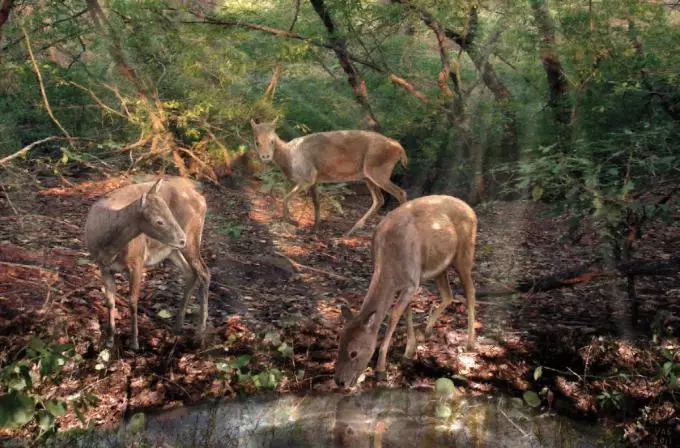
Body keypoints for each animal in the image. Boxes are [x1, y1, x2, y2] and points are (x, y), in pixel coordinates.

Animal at [86, 178, 211, 350]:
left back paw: (200, 334)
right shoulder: (103, 267)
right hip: (172, 249)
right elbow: (110, 301)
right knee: (190, 273)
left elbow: (132, 301)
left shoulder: (137, 261)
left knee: (204, 273)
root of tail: (202, 199)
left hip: (192, 236)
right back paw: (178, 326)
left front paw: (134, 342)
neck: (109, 248)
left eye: (169, 212)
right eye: (158, 221)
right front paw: (109, 340)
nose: (182, 239)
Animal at [251, 119, 406, 238]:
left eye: (272, 141)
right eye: (257, 142)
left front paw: (292, 222)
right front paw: (313, 229)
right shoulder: (315, 180)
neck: (289, 156)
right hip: (367, 176)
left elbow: (285, 198)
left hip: (378, 172)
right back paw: (348, 232)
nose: (265, 157)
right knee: (379, 199)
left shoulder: (308, 177)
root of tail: (399, 148)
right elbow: (316, 203)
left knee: (400, 193)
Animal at [334, 194, 478, 386]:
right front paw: (409, 351)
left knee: (470, 293)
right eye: (339, 344)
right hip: (440, 267)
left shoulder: (412, 281)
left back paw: (470, 343)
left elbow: (394, 314)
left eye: (353, 353)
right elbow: (406, 312)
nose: (339, 381)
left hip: (465, 254)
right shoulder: (407, 284)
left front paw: (381, 368)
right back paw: (427, 330)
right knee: (448, 295)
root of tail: (471, 210)